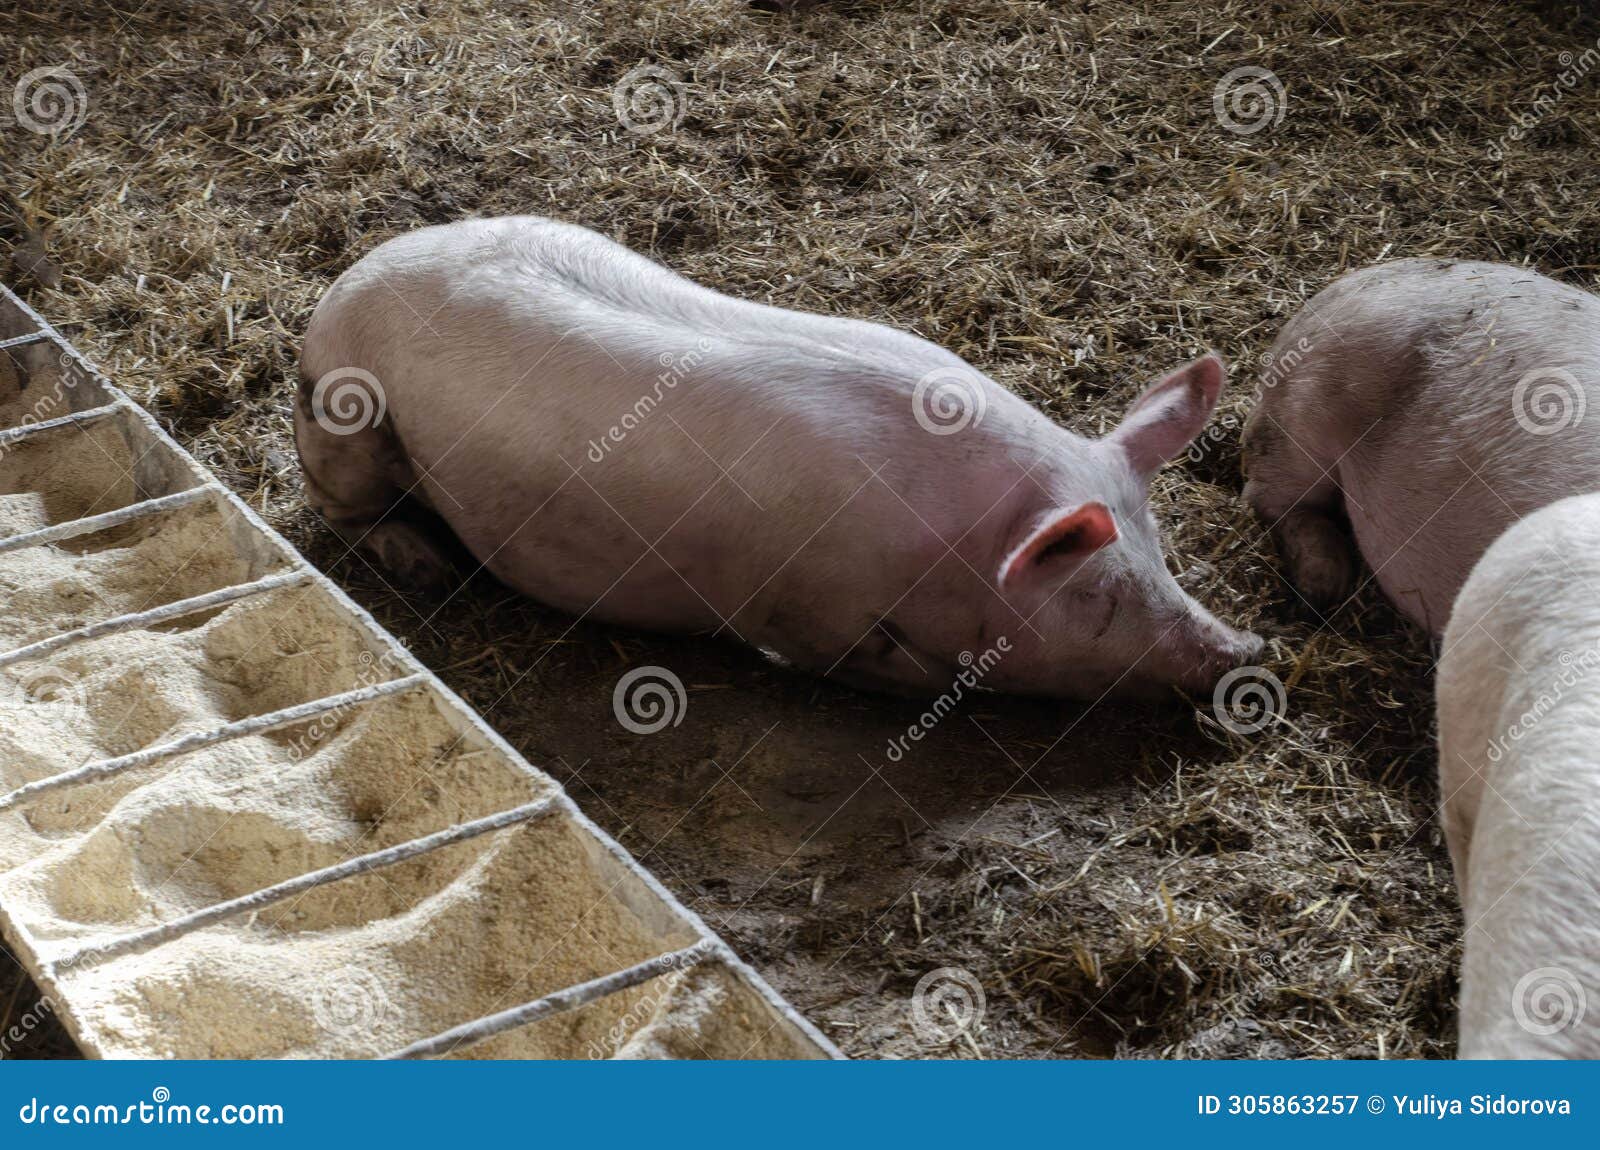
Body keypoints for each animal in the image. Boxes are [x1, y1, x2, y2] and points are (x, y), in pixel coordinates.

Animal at [296, 216, 1261, 699]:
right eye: (1098, 595)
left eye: (1162, 557)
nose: (1246, 649)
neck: (954, 548)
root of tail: (349, 277)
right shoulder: (807, 611)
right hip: (342, 426)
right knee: (346, 512)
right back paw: (420, 564)